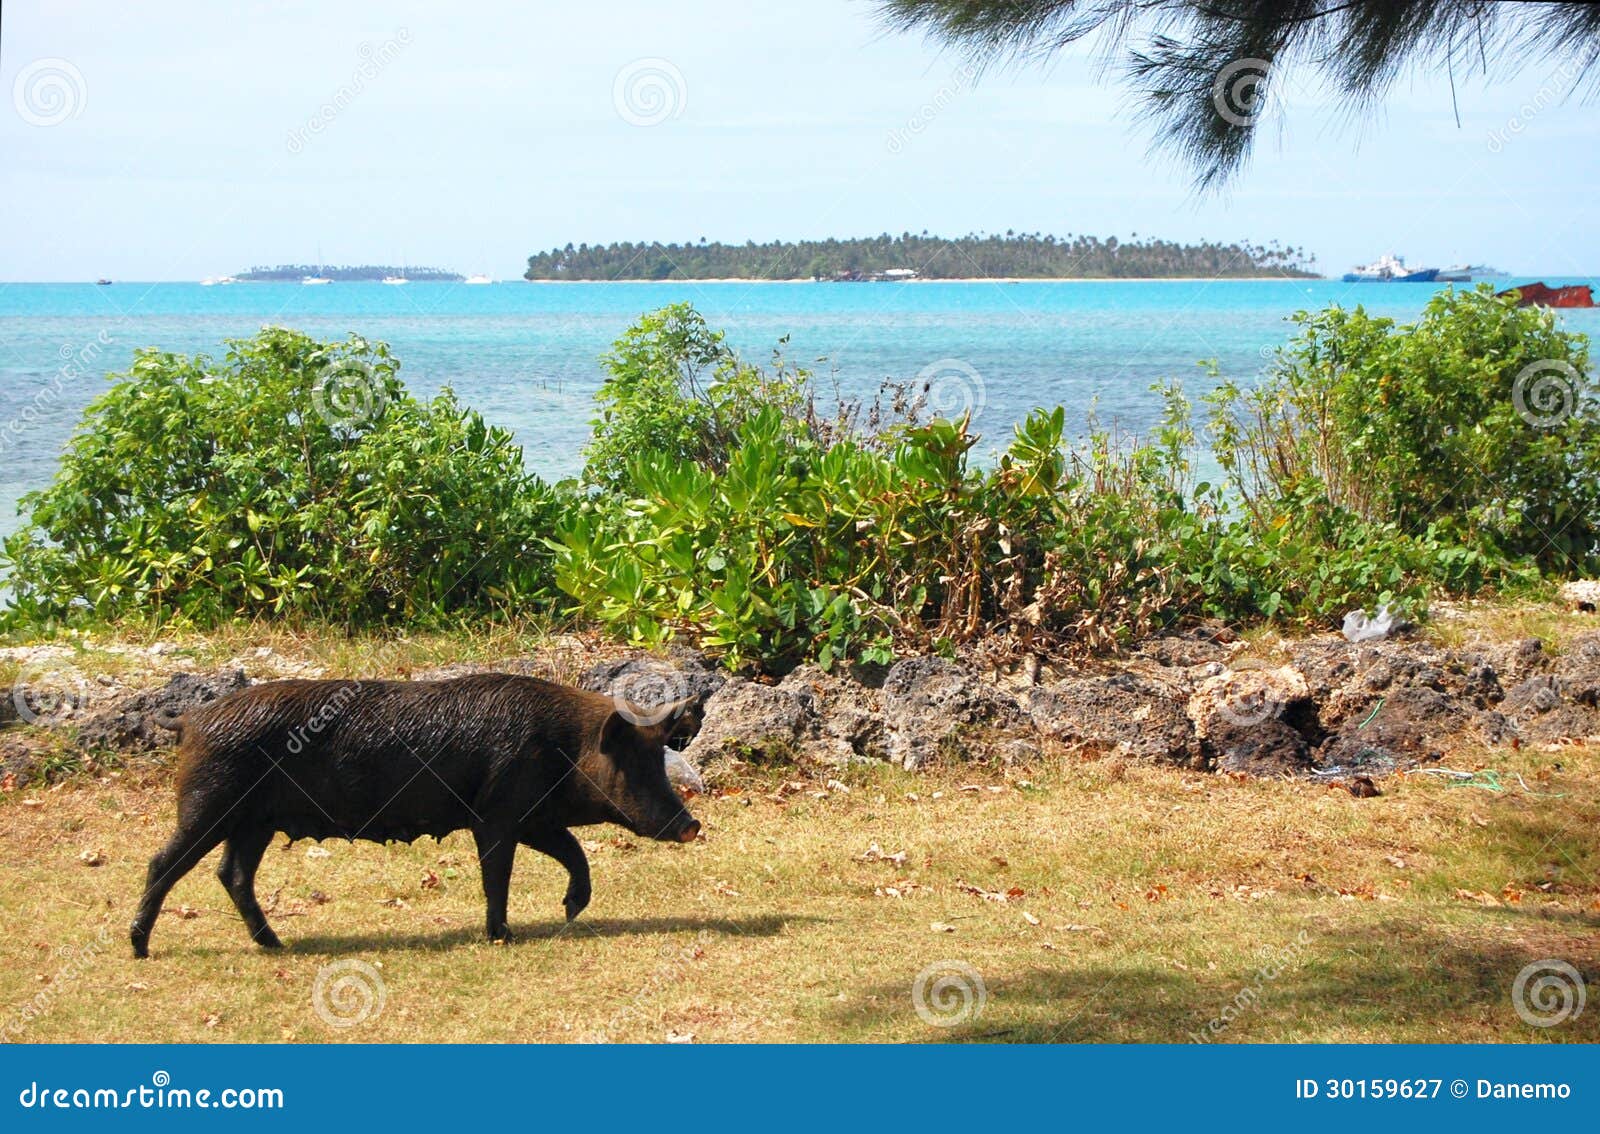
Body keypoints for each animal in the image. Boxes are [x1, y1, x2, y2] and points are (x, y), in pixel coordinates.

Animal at [130, 674, 699, 957]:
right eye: (634, 765)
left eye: (658, 759)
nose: (692, 825)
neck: (564, 747)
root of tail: (191, 717)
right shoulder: (495, 813)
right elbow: (498, 875)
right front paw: (502, 936)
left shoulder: (532, 817)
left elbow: (573, 851)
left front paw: (570, 911)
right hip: (209, 802)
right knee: (164, 863)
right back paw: (139, 949)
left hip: (254, 822)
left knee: (232, 873)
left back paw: (276, 945)